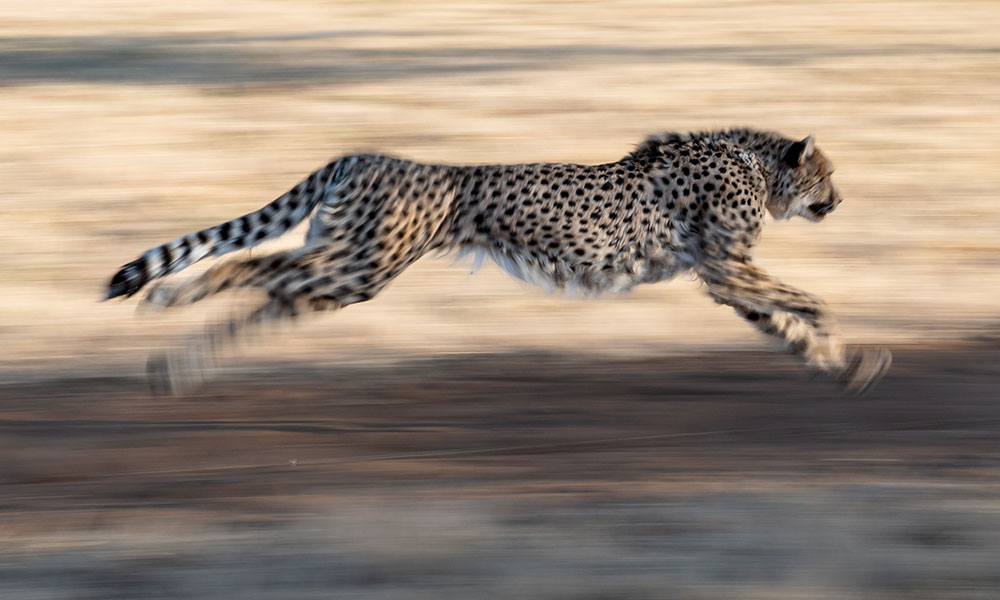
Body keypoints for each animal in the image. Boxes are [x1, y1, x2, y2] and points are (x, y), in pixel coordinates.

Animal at [105, 128, 891, 395]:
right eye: (826, 174)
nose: (841, 199)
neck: (751, 160)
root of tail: (366, 153)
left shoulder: (723, 281)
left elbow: (783, 324)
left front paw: (844, 365)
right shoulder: (727, 268)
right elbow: (803, 299)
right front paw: (836, 332)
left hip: (340, 265)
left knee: (269, 291)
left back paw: (173, 363)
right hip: (361, 266)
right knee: (253, 271)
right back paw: (168, 301)